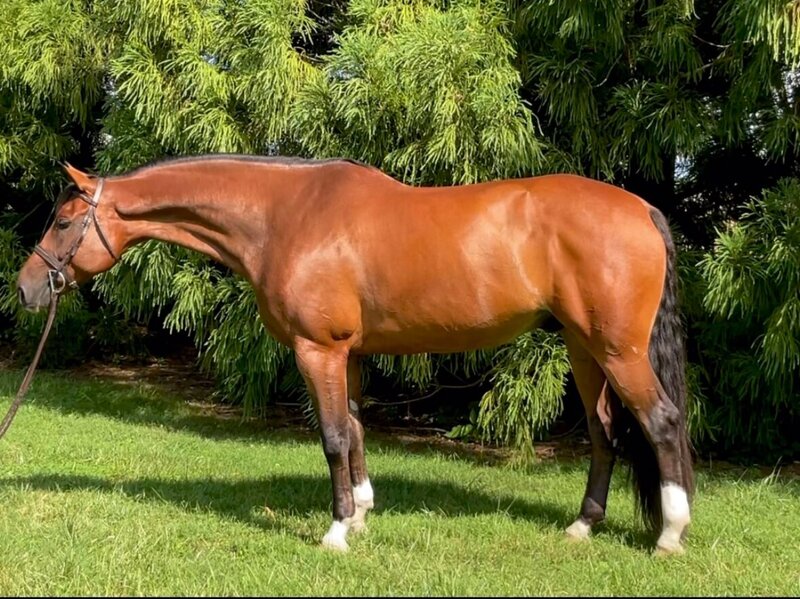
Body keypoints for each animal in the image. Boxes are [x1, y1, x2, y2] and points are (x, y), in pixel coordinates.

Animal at [15, 155, 694, 555]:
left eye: (62, 220)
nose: (25, 288)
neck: (283, 215)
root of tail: (642, 209)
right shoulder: (354, 356)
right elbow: (359, 431)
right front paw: (364, 516)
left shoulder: (319, 351)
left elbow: (334, 437)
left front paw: (337, 531)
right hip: (584, 348)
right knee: (606, 431)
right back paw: (582, 527)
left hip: (619, 351)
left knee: (660, 423)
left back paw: (670, 534)